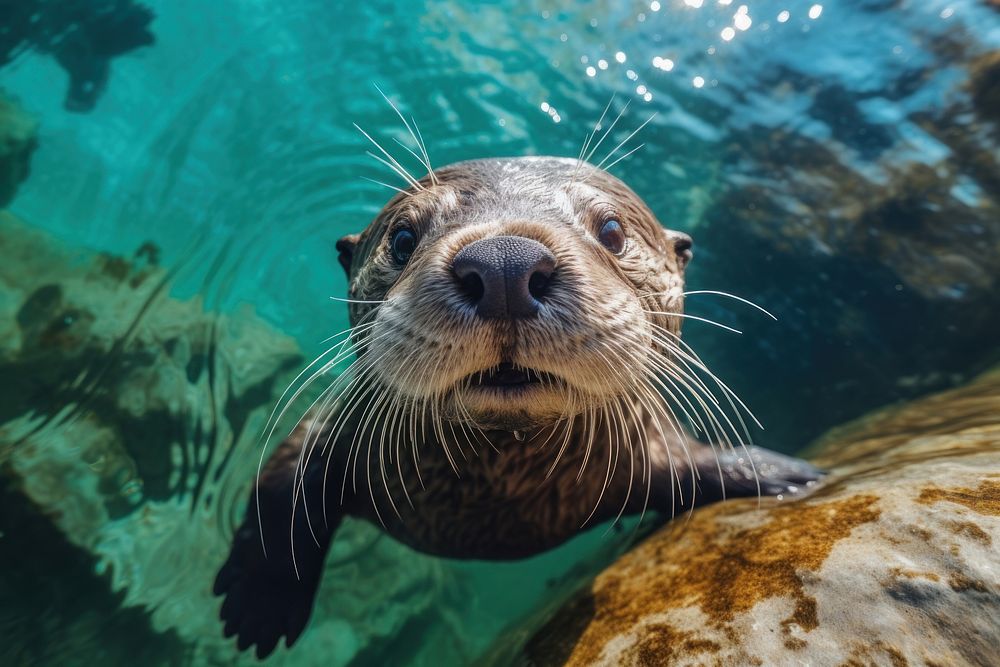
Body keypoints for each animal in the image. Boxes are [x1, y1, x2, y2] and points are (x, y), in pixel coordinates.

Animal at [214, 156, 820, 658]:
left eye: (612, 231)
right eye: (404, 237)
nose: (504, 263)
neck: (498, 508)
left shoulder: (645, 444)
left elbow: (696, 466)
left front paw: (783, 475)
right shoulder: (347, 423)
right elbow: (283, 477)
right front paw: (261, 600)